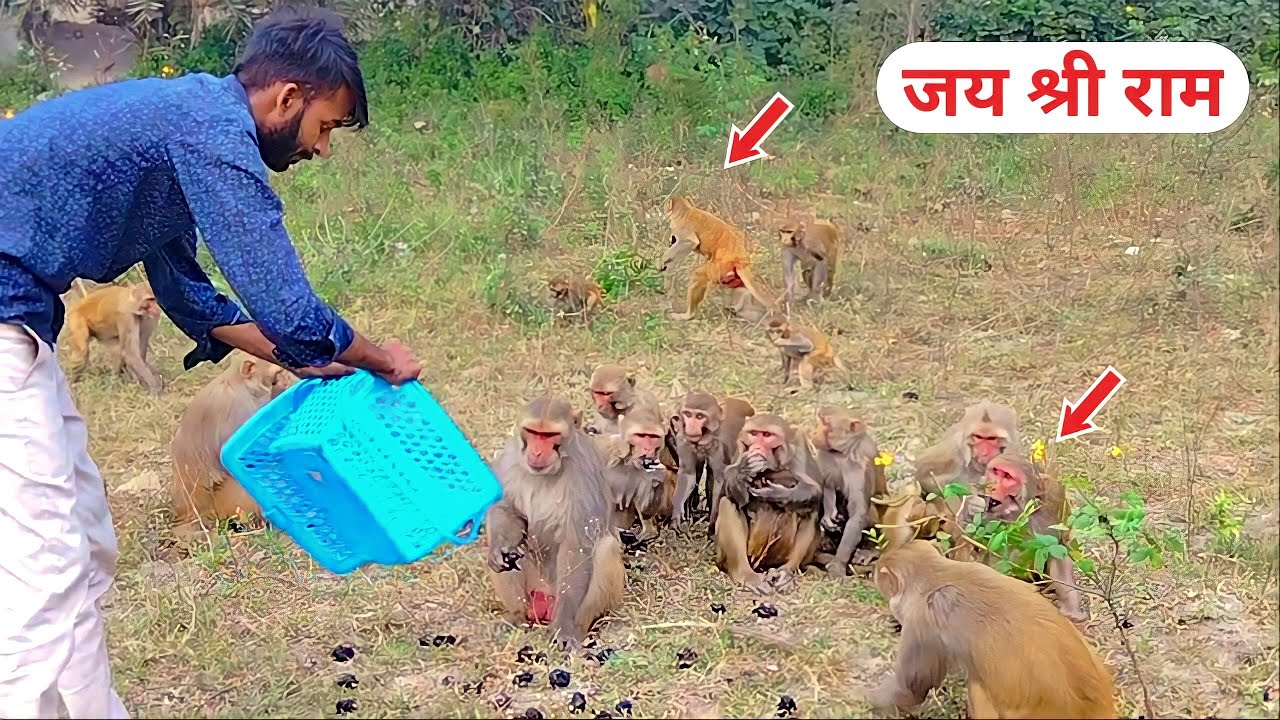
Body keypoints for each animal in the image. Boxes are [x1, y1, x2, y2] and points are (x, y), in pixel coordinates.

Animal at [169, 352, 292, 541]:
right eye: (277, 374)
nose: (285, 379)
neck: (239, 383)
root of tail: (188, 514)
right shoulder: (238, 409)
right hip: (222, 504)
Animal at [485, 396, 626, 650]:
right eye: (533, 432)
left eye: (550, 435)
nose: (537, 452)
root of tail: (546, 598)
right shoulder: (510, 458)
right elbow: (504, 509)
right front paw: (500, 549)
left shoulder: (583, 474)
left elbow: (576, 546)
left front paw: (564, 628)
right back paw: (517, 616)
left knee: (605, 548)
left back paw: (577, 626)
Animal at [668, 390, 755, 532]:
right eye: (688, 414)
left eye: (699, 416)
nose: (691, 427)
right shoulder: (683, 439)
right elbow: (688, 474)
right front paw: (676, 518)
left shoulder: (718, 445)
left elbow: (719, 479)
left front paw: (712, 524)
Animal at [714, 414, 825, 594]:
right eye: (754, 433)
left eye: (767, 435)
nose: (757, 447)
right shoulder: (741, 448)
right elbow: (730, 496)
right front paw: (742, 470)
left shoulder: (800, 445)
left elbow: (814, 489)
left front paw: (780, 494)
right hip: (734, 555)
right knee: (727, 504)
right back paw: (745, 574)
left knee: (810, 509)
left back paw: (786, 572)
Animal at [952, 453, 1087, 623]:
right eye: (995, 472)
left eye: (1007, 476)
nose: (992, 486)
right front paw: (970, 510)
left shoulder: (1054, 498)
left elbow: (1059, 549)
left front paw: (1071, 607)